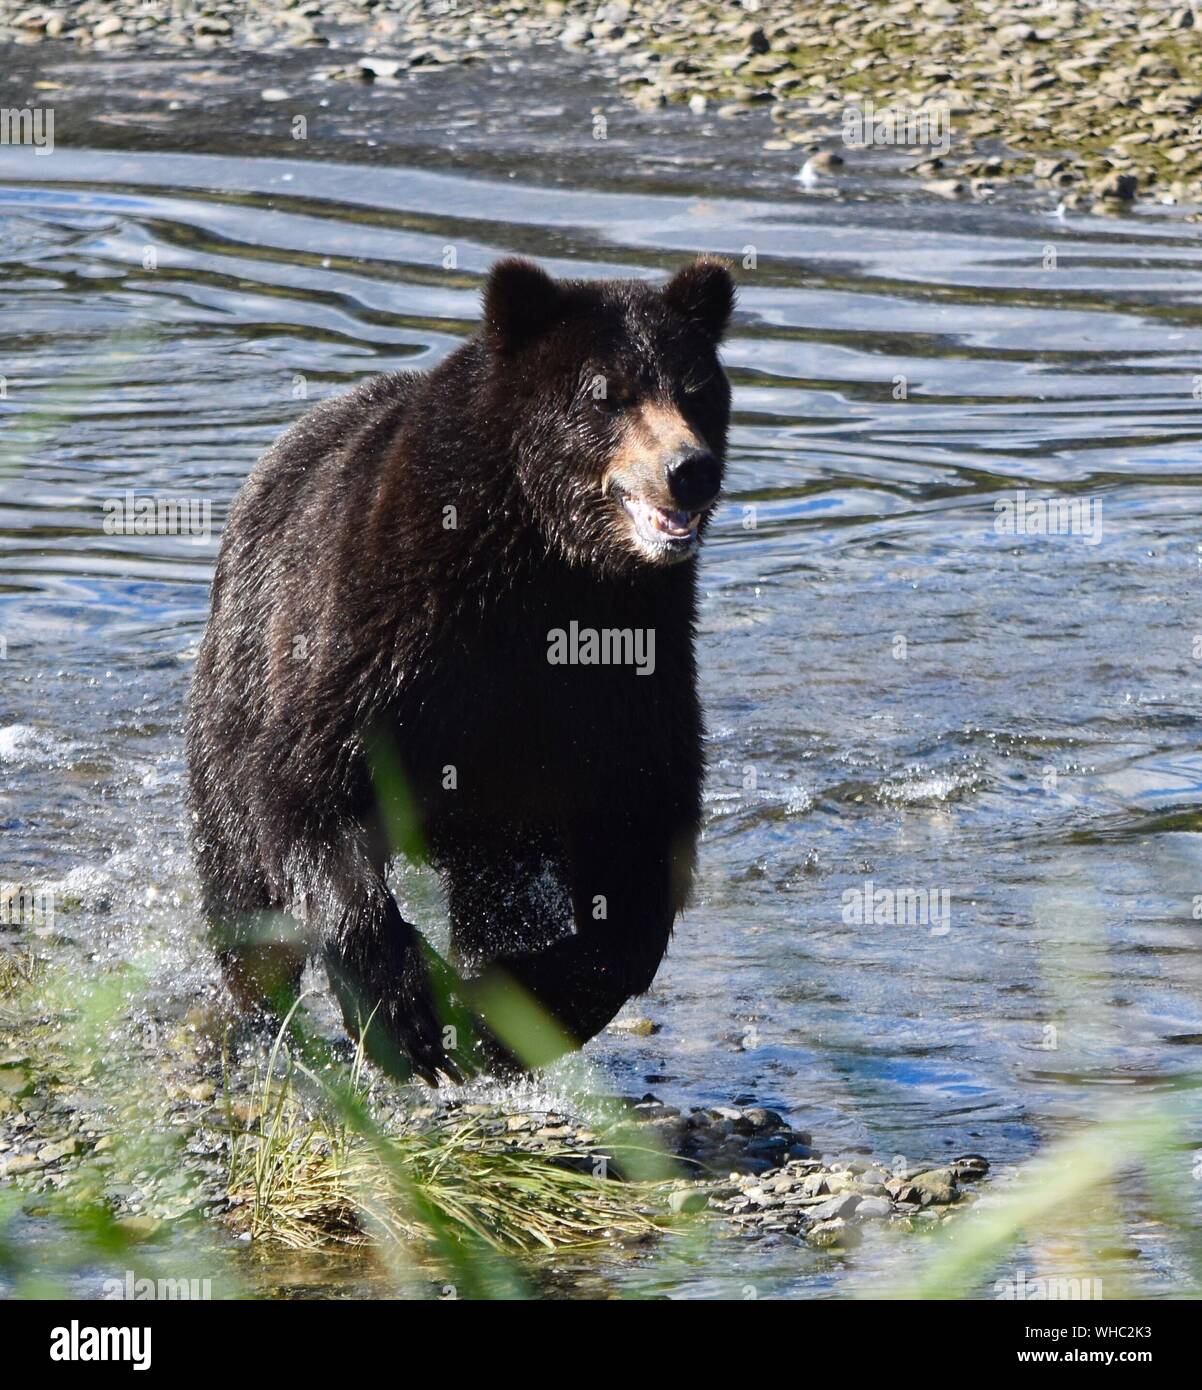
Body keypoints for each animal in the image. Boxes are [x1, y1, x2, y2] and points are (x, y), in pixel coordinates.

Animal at [185, 255, 735, 1084]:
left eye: (698, 386)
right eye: (605, 393)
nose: (687, 469)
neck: (547, 562)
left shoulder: (629, 664)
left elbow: (639, 842)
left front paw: (506, 1010)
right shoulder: (385, 623)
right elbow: (305, 787)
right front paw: (404, 1012)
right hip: (236, 674)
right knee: (243, 889)